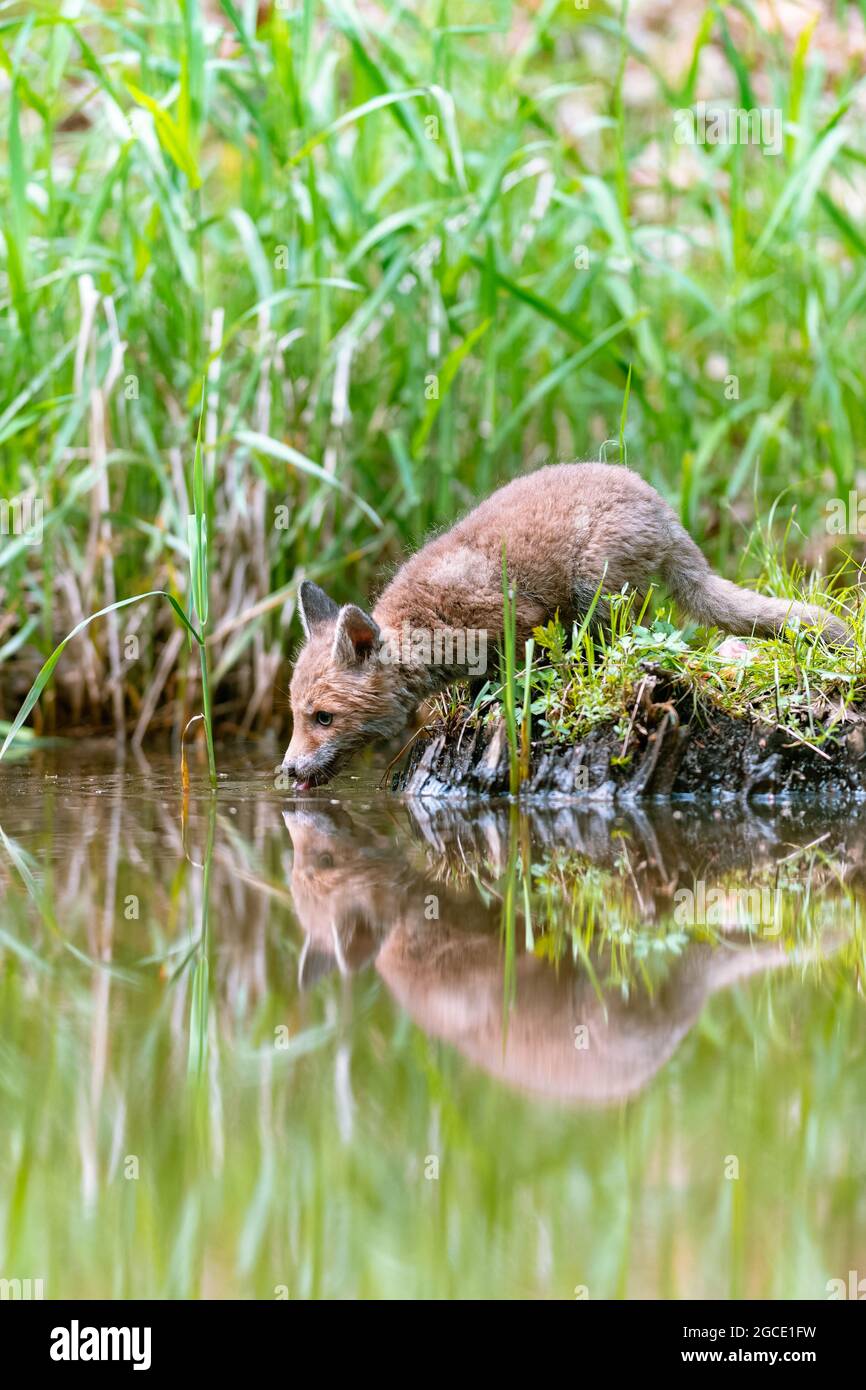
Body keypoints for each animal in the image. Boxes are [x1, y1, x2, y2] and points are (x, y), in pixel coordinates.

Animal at [283, 461, 847, 788]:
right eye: (295, 716)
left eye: (324, 718)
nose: (284, 769)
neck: (427, 621)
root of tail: (662, 508)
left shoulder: (518, 622)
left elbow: (507, 679)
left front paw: (490, 707)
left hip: (595, 589)